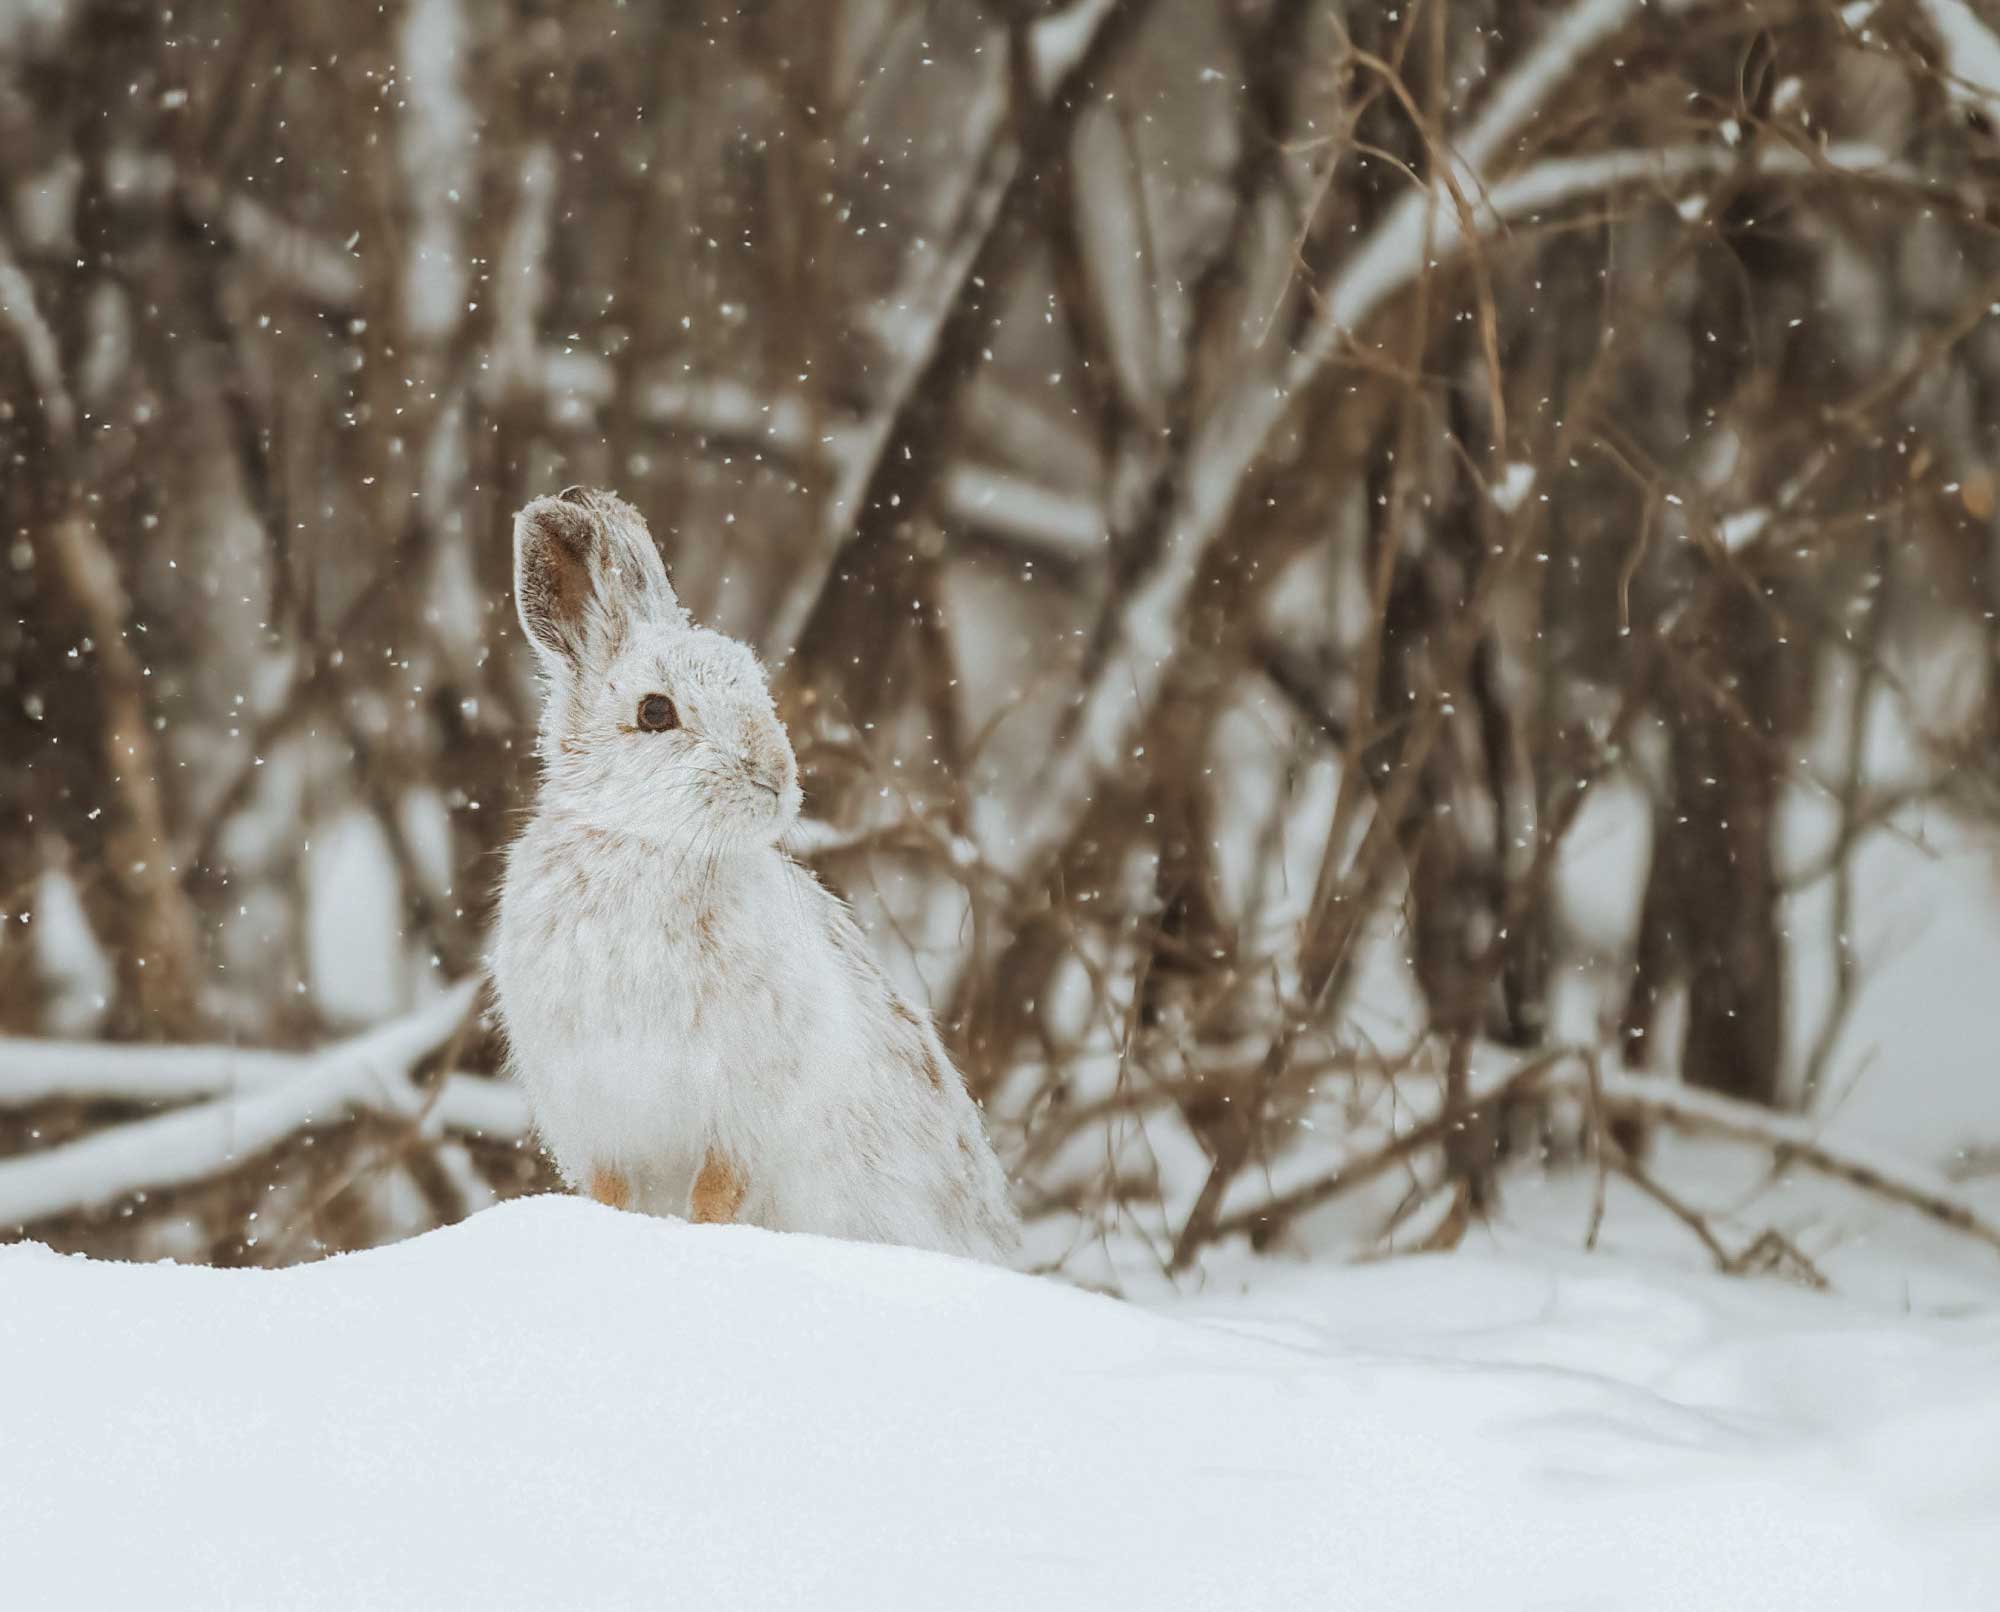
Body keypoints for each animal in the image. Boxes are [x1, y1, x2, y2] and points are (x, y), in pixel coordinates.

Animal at [490, 487, 1021, 1262]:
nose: (777, 777)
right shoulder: (602, 1115)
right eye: (655, 712)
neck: (648, 848)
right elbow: (615, 1194)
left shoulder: (740, 1118)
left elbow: (716, 1195)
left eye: (755, 689)